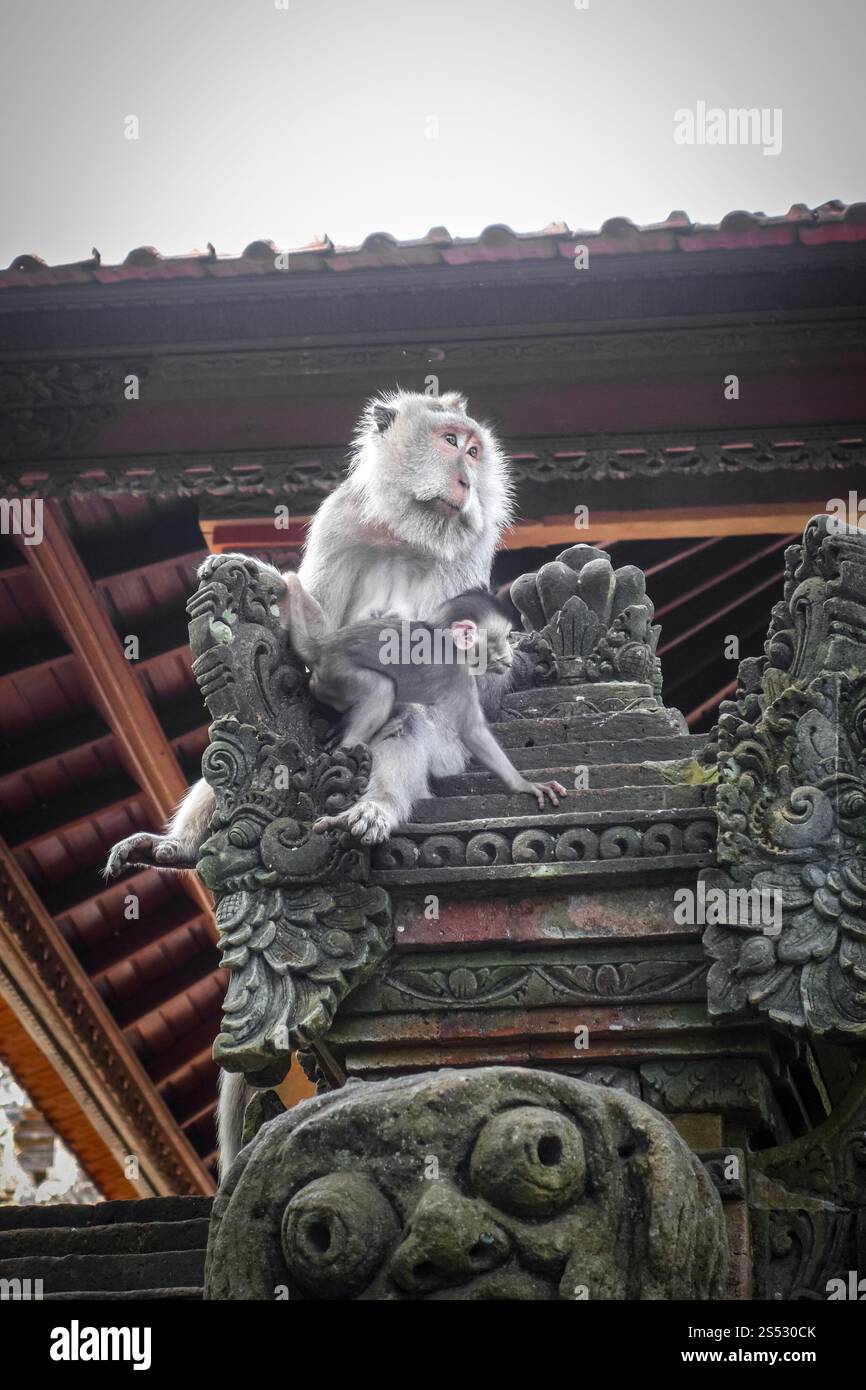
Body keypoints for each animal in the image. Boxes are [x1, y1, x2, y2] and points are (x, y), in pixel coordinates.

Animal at [284, 574, 566, 812]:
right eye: (505, 637)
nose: (509, 654)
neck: (445, 639)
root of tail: (321, 647)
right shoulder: (457, 674)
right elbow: (472, 731)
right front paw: (524, 785)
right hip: (338, 675)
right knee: (381, 689)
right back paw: (356, 744)